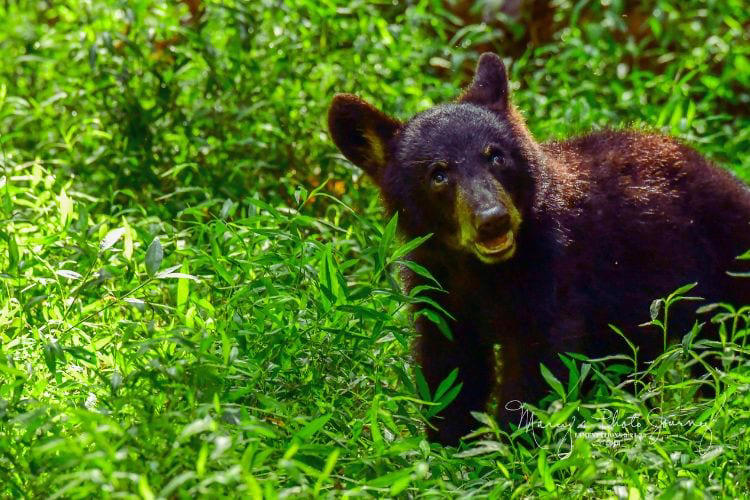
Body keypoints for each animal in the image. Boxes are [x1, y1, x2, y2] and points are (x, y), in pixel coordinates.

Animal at [327, 52, 750, 446]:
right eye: (438, 174)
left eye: (495, 155)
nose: (492, 219)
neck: (480, 271)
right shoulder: (436, 286)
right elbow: (450, 369)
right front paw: (452, 448)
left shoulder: (553, 273)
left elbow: (539, 368)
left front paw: (514, 449)